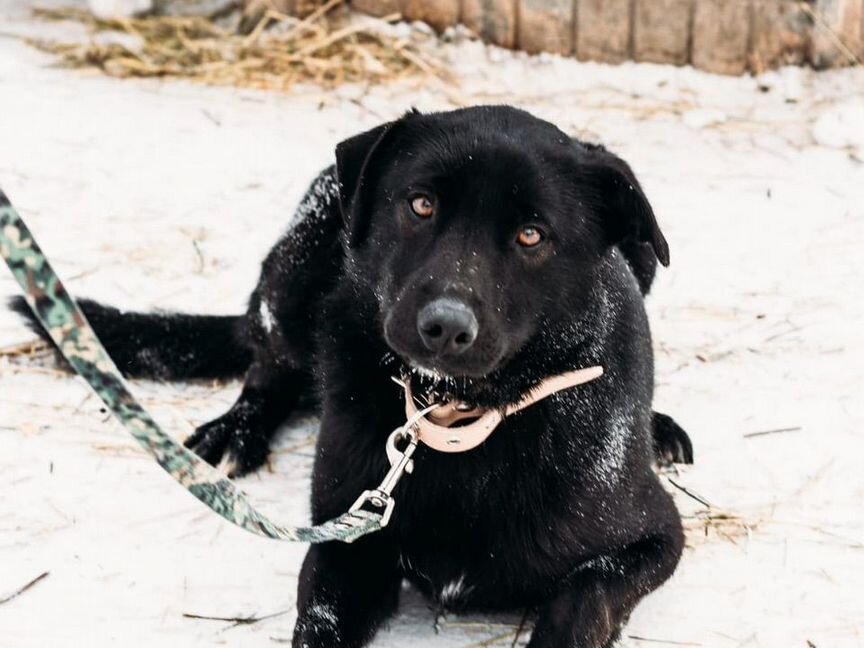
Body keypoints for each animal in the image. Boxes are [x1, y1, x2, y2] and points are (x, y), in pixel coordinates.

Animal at [13, 105, 696, 644]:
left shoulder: (650, 542)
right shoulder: (345, 546)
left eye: (532, 234)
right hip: (298, 268)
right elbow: (319, 623)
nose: (444, 327)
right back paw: (236, 431)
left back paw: (658, 427)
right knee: (269, 366)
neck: (455, 420)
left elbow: (581, 607)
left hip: (641, 259)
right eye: (420, 204)